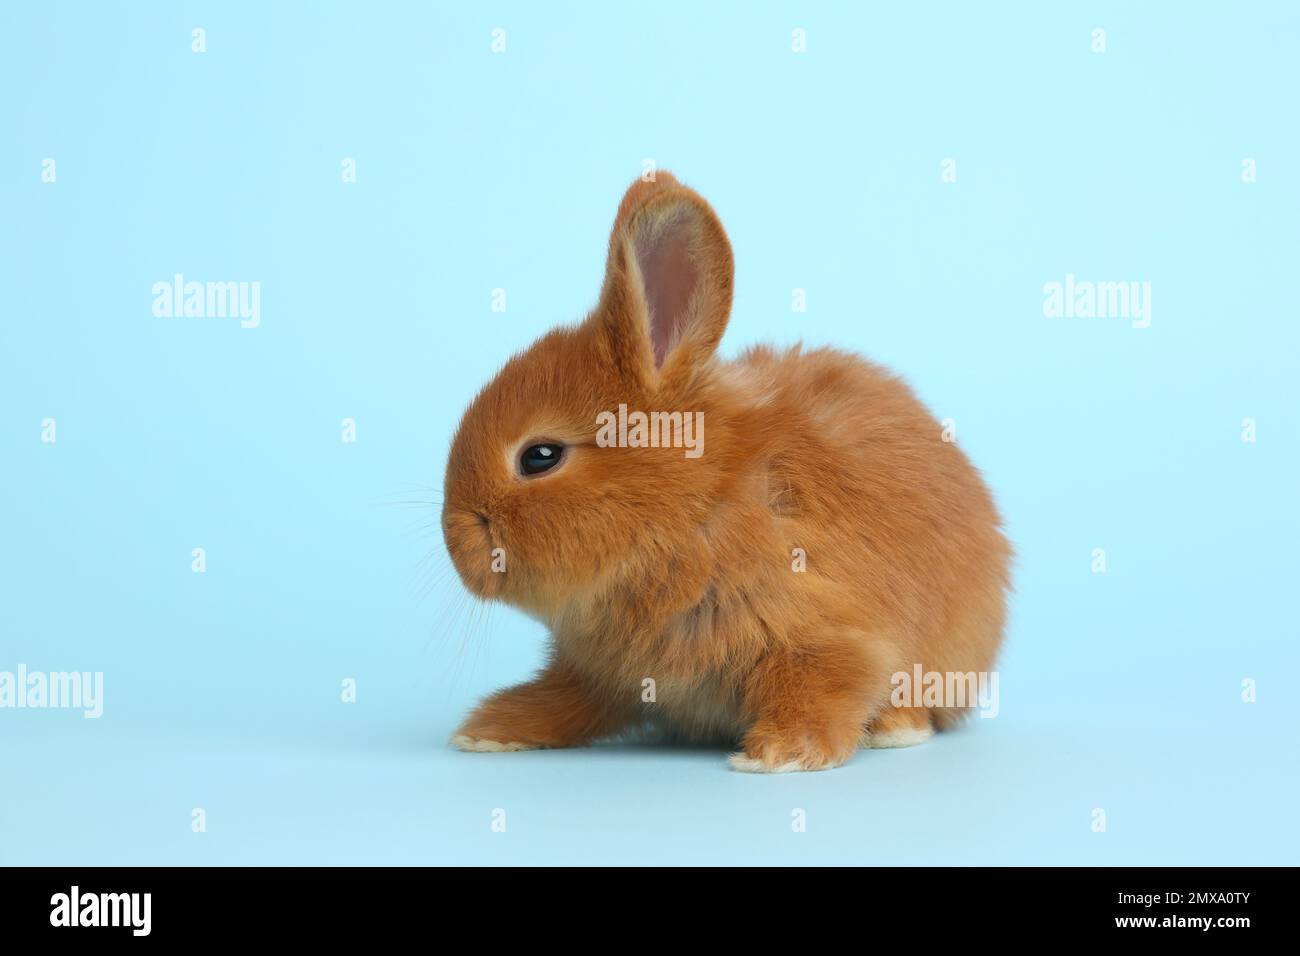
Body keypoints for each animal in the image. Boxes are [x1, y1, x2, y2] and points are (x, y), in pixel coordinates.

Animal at [442, 172, 1011, 772]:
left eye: (540, 456)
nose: (456, 540)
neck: (694, 508)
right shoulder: (595, 674)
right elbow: (565, 700)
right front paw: (493, 729)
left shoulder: (823, 633)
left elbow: (826, 684)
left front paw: (779, 753)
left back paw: (895, 729)